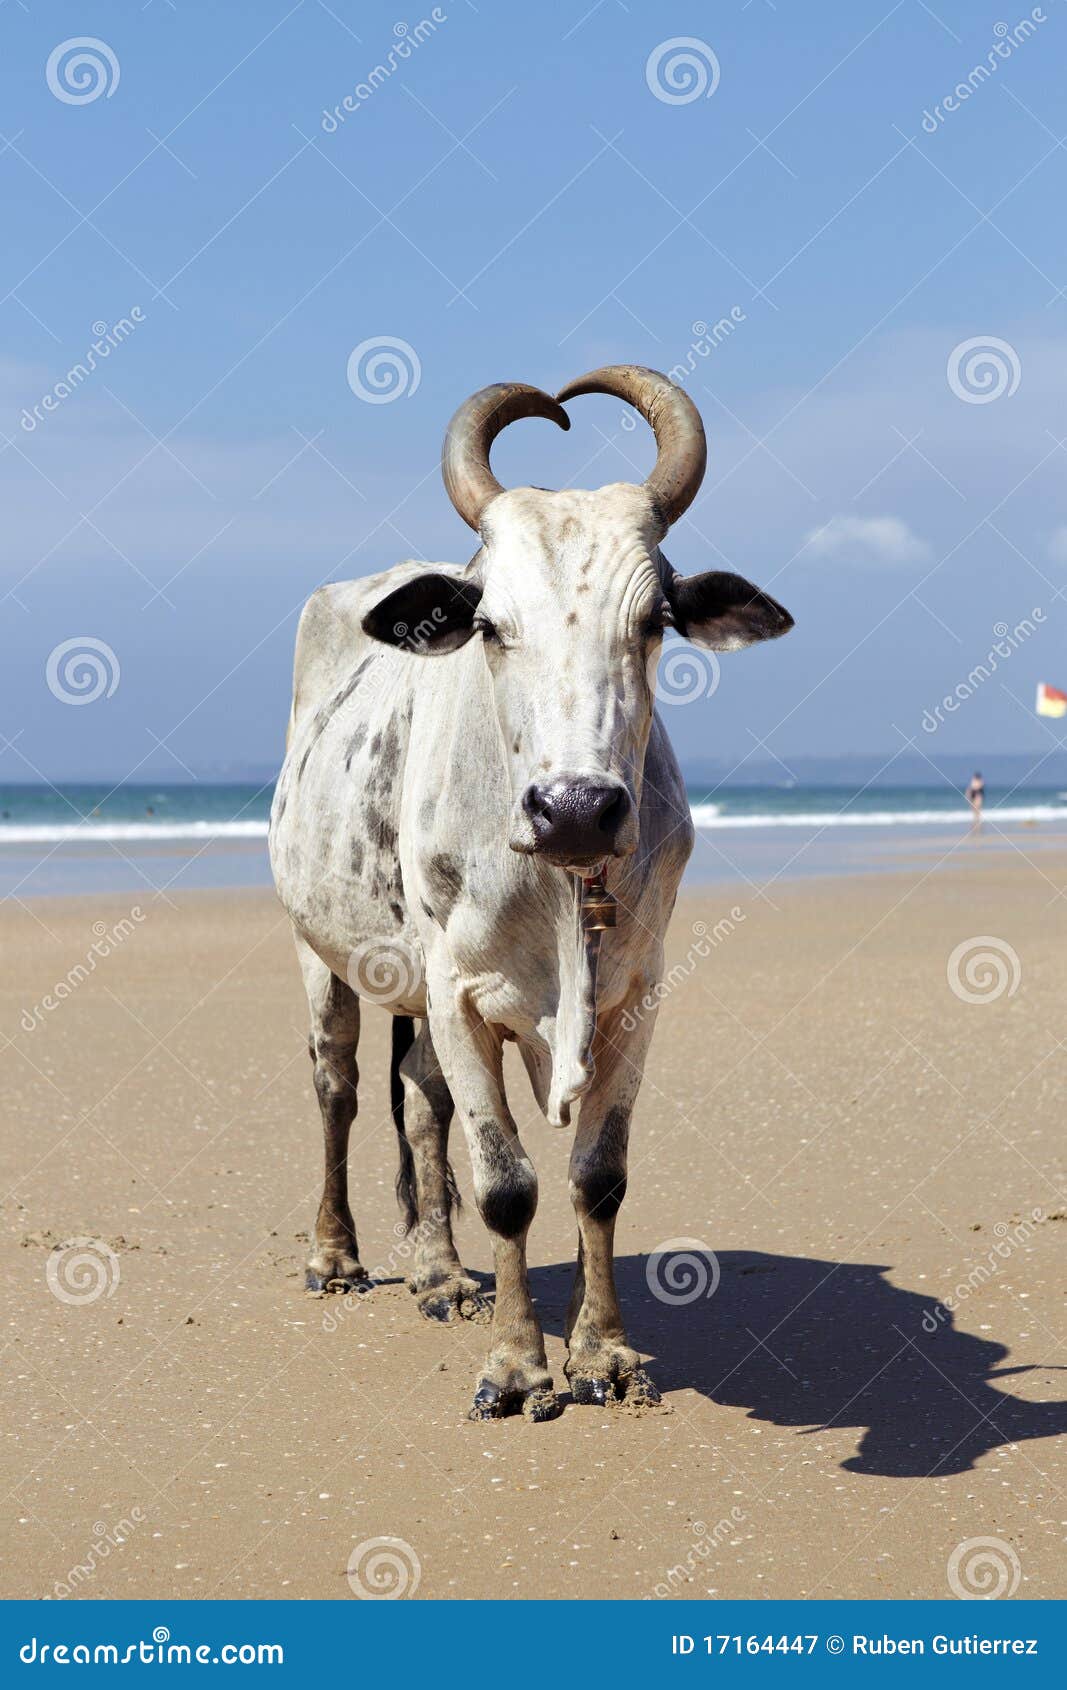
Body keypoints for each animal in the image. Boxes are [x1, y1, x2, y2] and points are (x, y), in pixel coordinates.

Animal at [269, 365, 793, 1420]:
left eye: (652, 621)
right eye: (488, 626)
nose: (576, 810)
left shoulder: (635, 997)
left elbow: (597, 1178)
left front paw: (601, 1353)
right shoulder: (460, 996)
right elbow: (505, 1183)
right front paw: (517, 1367)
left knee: (419, 1104)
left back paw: (438, 1274)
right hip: (320, 953)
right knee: (340, 1088)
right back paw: (336, 1257)